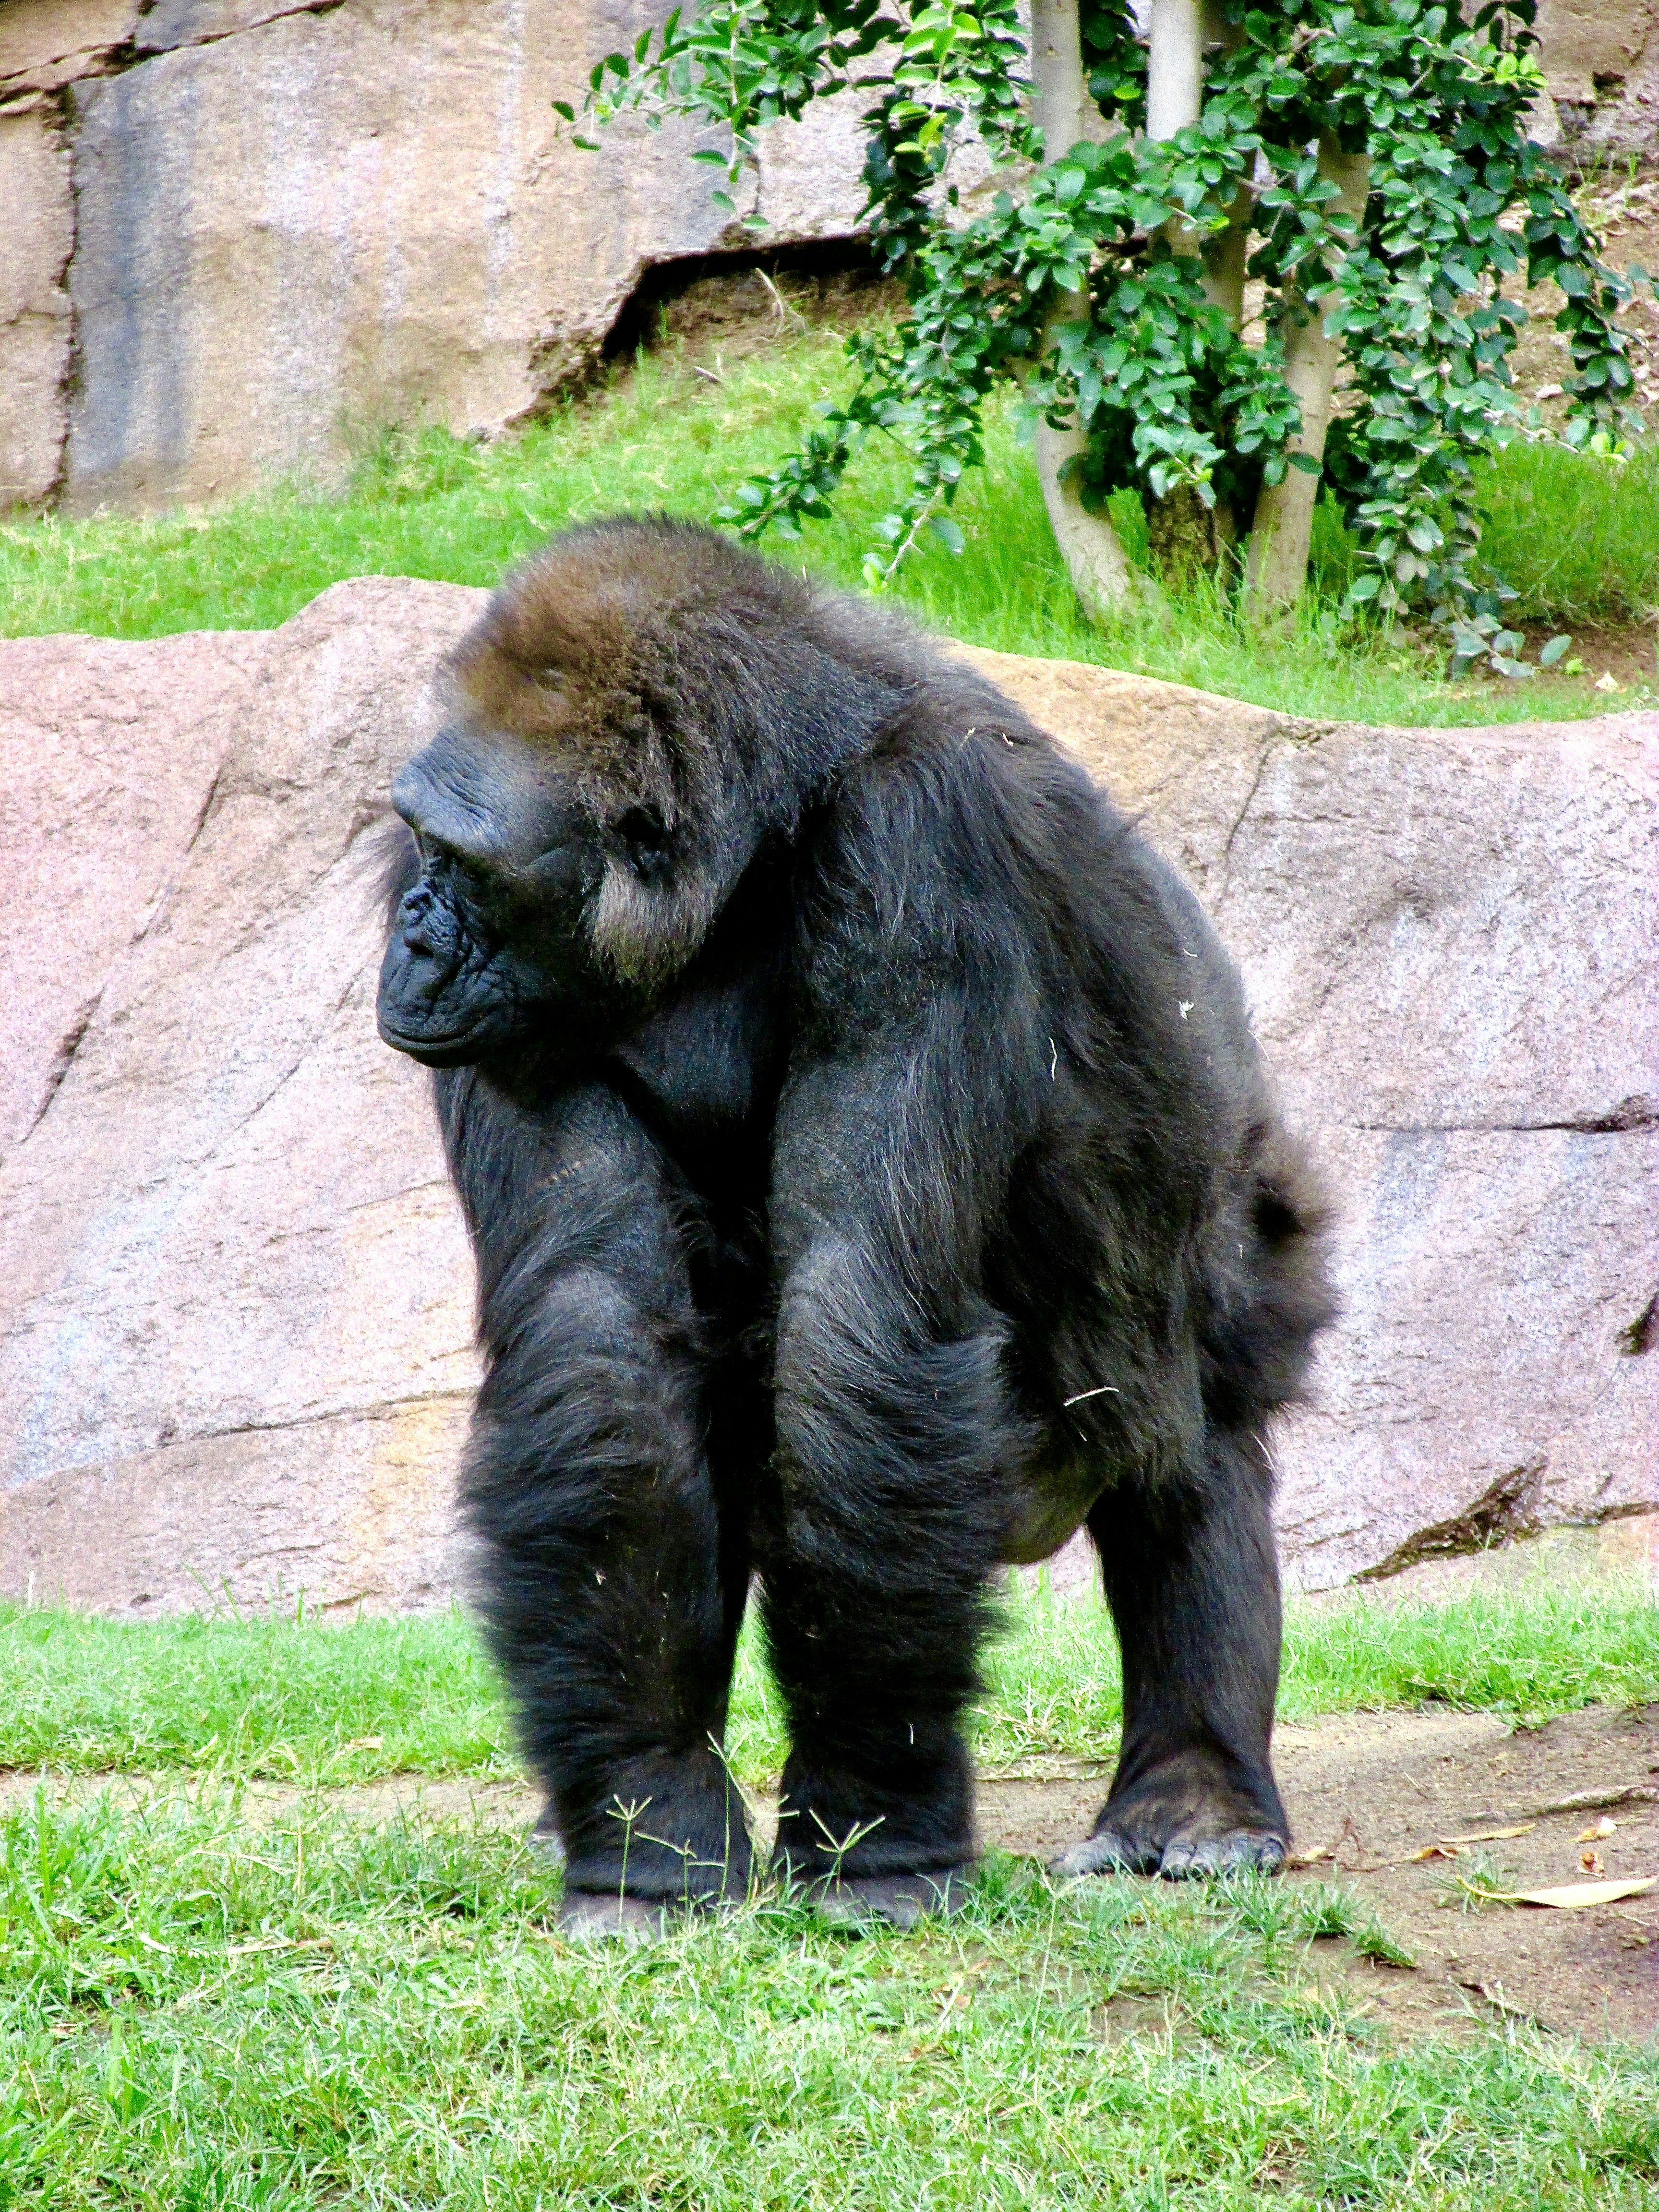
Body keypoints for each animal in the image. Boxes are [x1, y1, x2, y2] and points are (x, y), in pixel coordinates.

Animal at [376, 516, 1335, 1937]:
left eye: (471, 870)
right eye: (420, 848)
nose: (412, 934)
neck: (756, 838)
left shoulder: (922, 854)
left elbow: (858, 1306)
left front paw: (875, 1828)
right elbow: (598, 1334)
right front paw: (648, 1824)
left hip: (1240, 1207)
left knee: (1183, 1441)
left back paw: (1195, 1790)